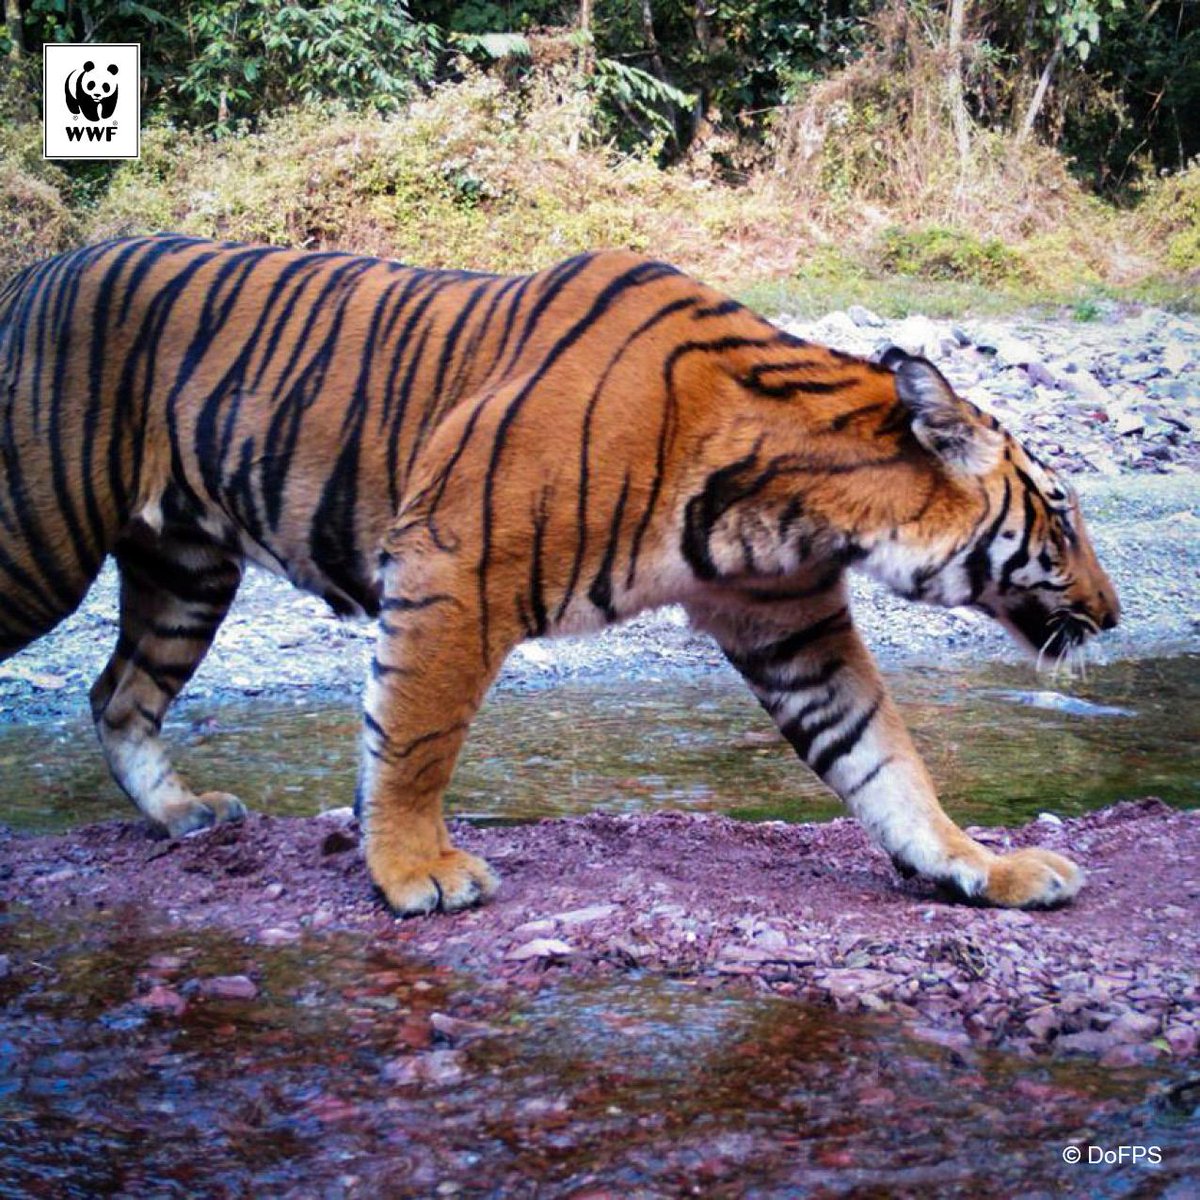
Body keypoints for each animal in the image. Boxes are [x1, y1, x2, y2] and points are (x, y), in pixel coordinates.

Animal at [0, 235, 1119, 915]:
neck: (800, 507)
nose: (1114, 617)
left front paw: (982, 868)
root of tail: (31, 274)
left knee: (118, 694)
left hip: (185, 571)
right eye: (1062, 512)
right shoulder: (452, 568)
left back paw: (182, 815)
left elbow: (886, 763)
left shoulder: (792, 627)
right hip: (40, 542)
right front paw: (415, 872)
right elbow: (414, 739)